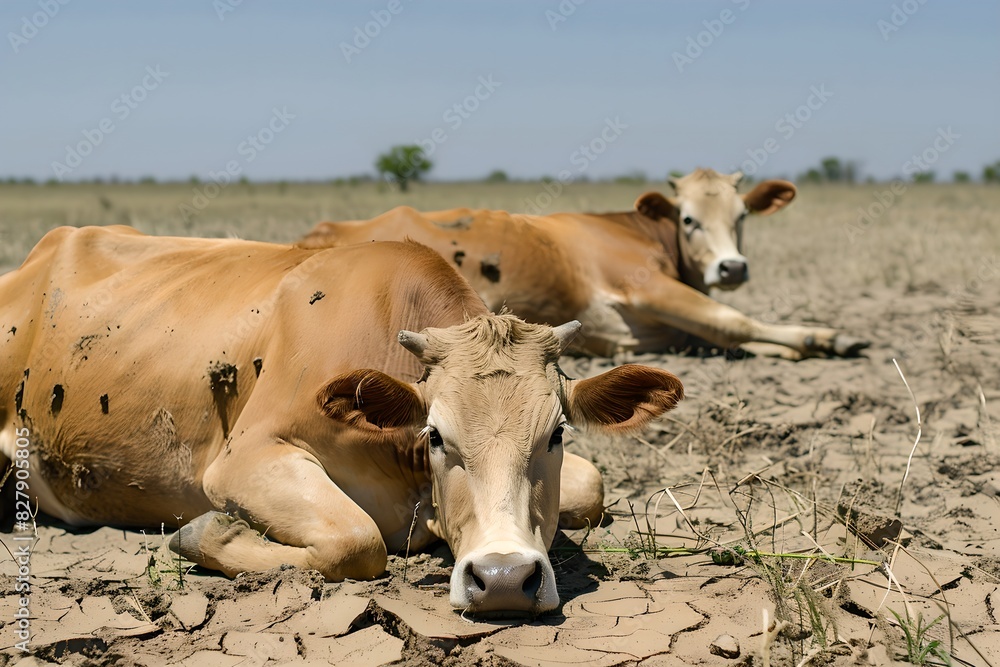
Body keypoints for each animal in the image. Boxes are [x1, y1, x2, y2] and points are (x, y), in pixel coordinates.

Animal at [0, 226, 684, 615]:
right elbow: (357, 541)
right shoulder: (244, 460)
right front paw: (205, 533)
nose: (505, 579)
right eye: (436, 435)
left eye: (557, 434)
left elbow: (592, 488)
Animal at [299, 168, 869, 359]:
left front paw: (814, 342)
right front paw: (822, 336)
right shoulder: (646, 288)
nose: (732, 268)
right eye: (688, 219)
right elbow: (733, 323)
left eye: (743, 215)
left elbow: (724, 335)